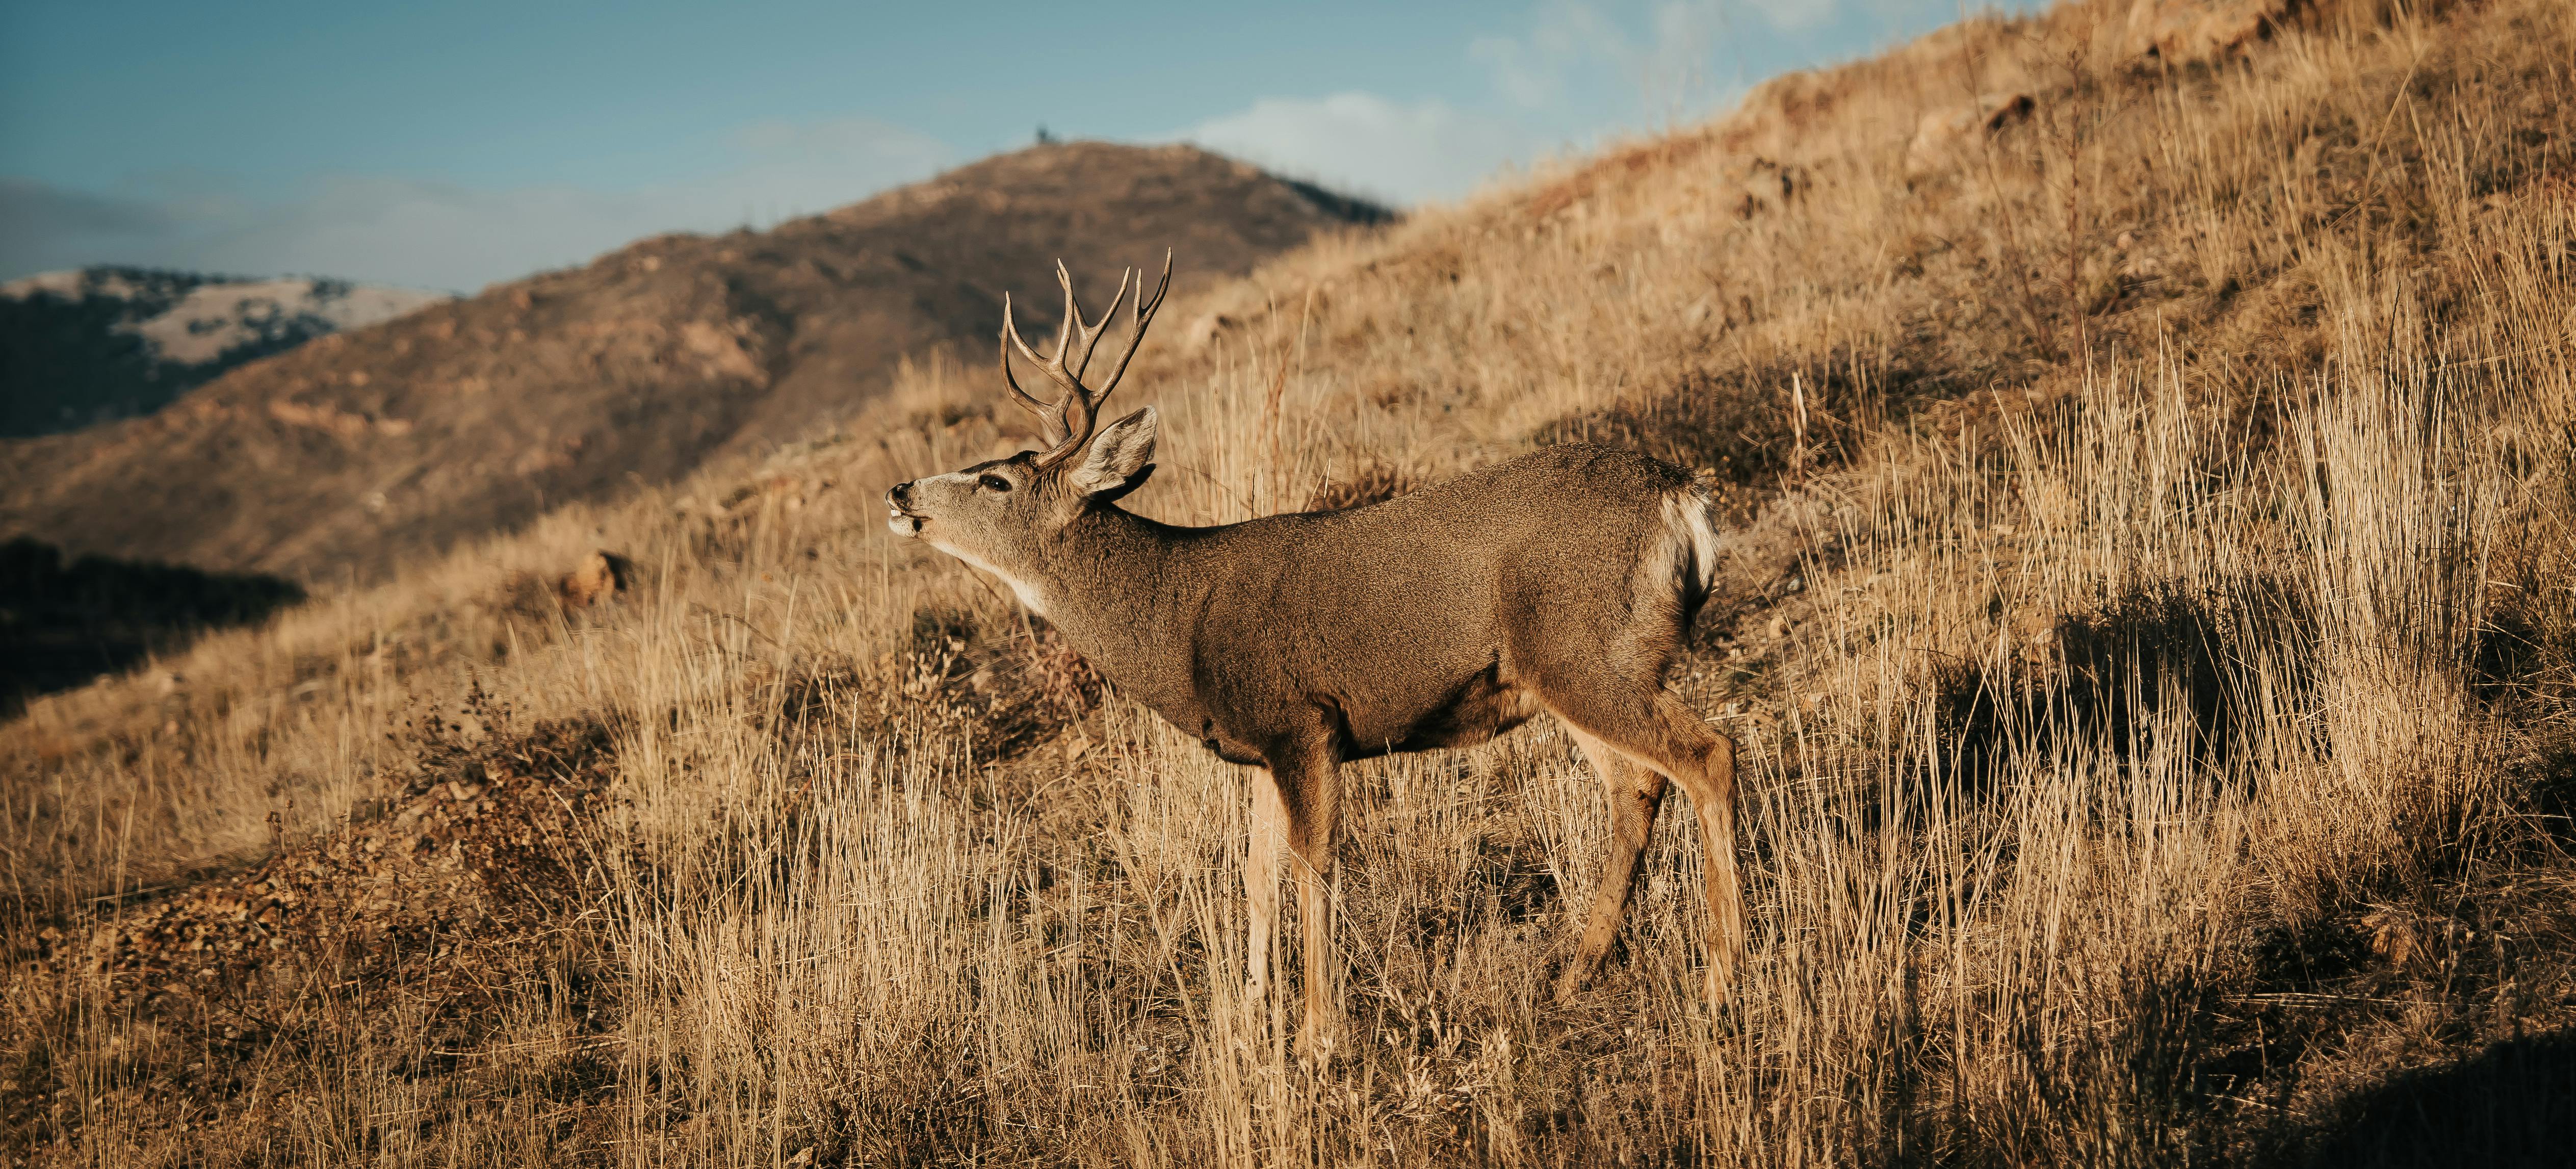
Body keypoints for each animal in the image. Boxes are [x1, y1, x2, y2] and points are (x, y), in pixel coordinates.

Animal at [884, 255, 1746, 1053]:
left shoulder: (1302, 720)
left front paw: (1315, 1035)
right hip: (1567, 672)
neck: (1175, 618)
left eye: (996, 480)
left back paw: (1719, 984)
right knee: (1637, 785)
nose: (899, 492)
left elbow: (1312, 864)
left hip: (1587, 650)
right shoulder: (1262, 747)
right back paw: (1578, 973)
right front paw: (1250, 1015)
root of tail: (1684, 498)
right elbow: (1257, 872)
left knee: (1707, 755)